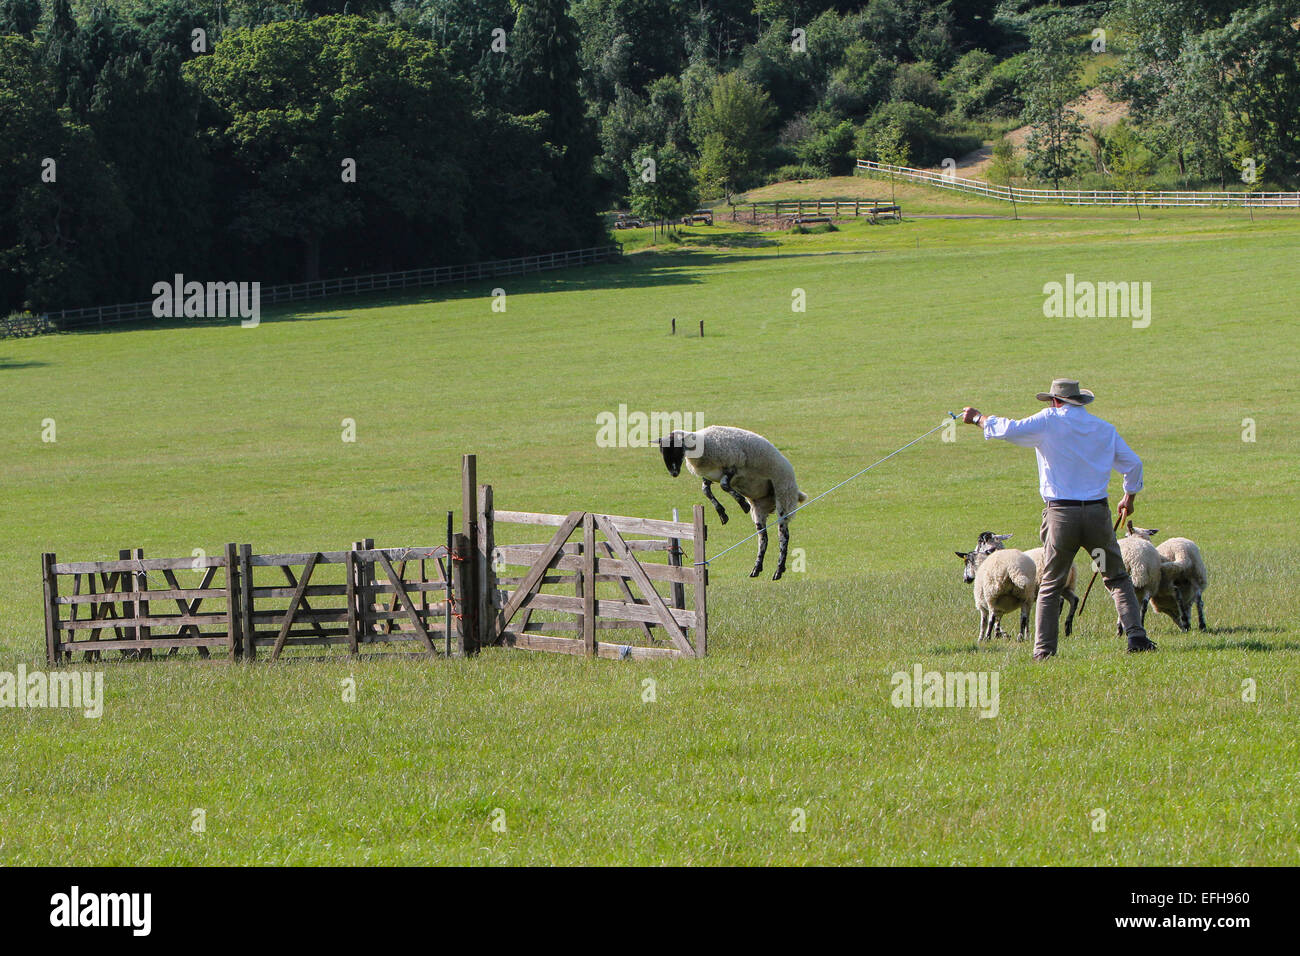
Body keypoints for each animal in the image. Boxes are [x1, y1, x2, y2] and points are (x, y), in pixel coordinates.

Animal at [658, 425, 808, 580]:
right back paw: (757, 568)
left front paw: (743, 504)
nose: (673, 473)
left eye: (677, 448)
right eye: (662, 450)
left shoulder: (733, 465)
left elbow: (724, 485)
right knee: (763, 538)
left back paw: (778, 570)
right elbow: (705, 490)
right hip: (760, 507)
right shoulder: (709, 476)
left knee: (783, 535)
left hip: (783, 496)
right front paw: (722, 514)